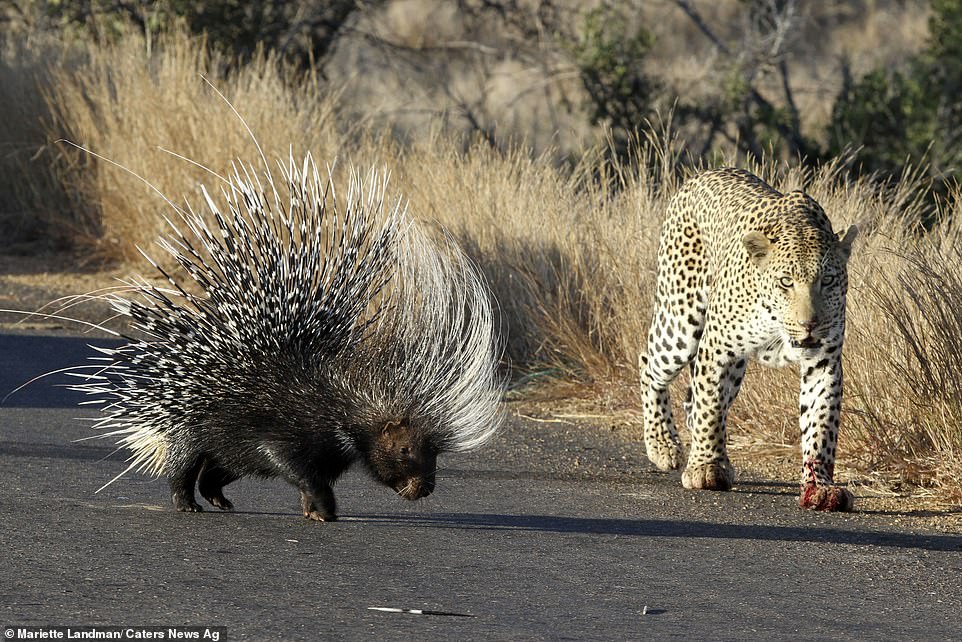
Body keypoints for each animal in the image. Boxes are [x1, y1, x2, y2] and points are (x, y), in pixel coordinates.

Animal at [636, 165, 856, 510]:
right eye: (786, 282)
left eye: (829, 280)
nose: (809, 324)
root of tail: (703, 174)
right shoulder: (716, 346)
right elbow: (710, 407)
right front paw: (706, 468)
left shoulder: (824, 362)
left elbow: (821, 422)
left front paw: (820, 485)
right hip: (681, 321)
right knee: (649, 364)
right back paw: (664, 446)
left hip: (734, 365)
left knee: (698, 398)